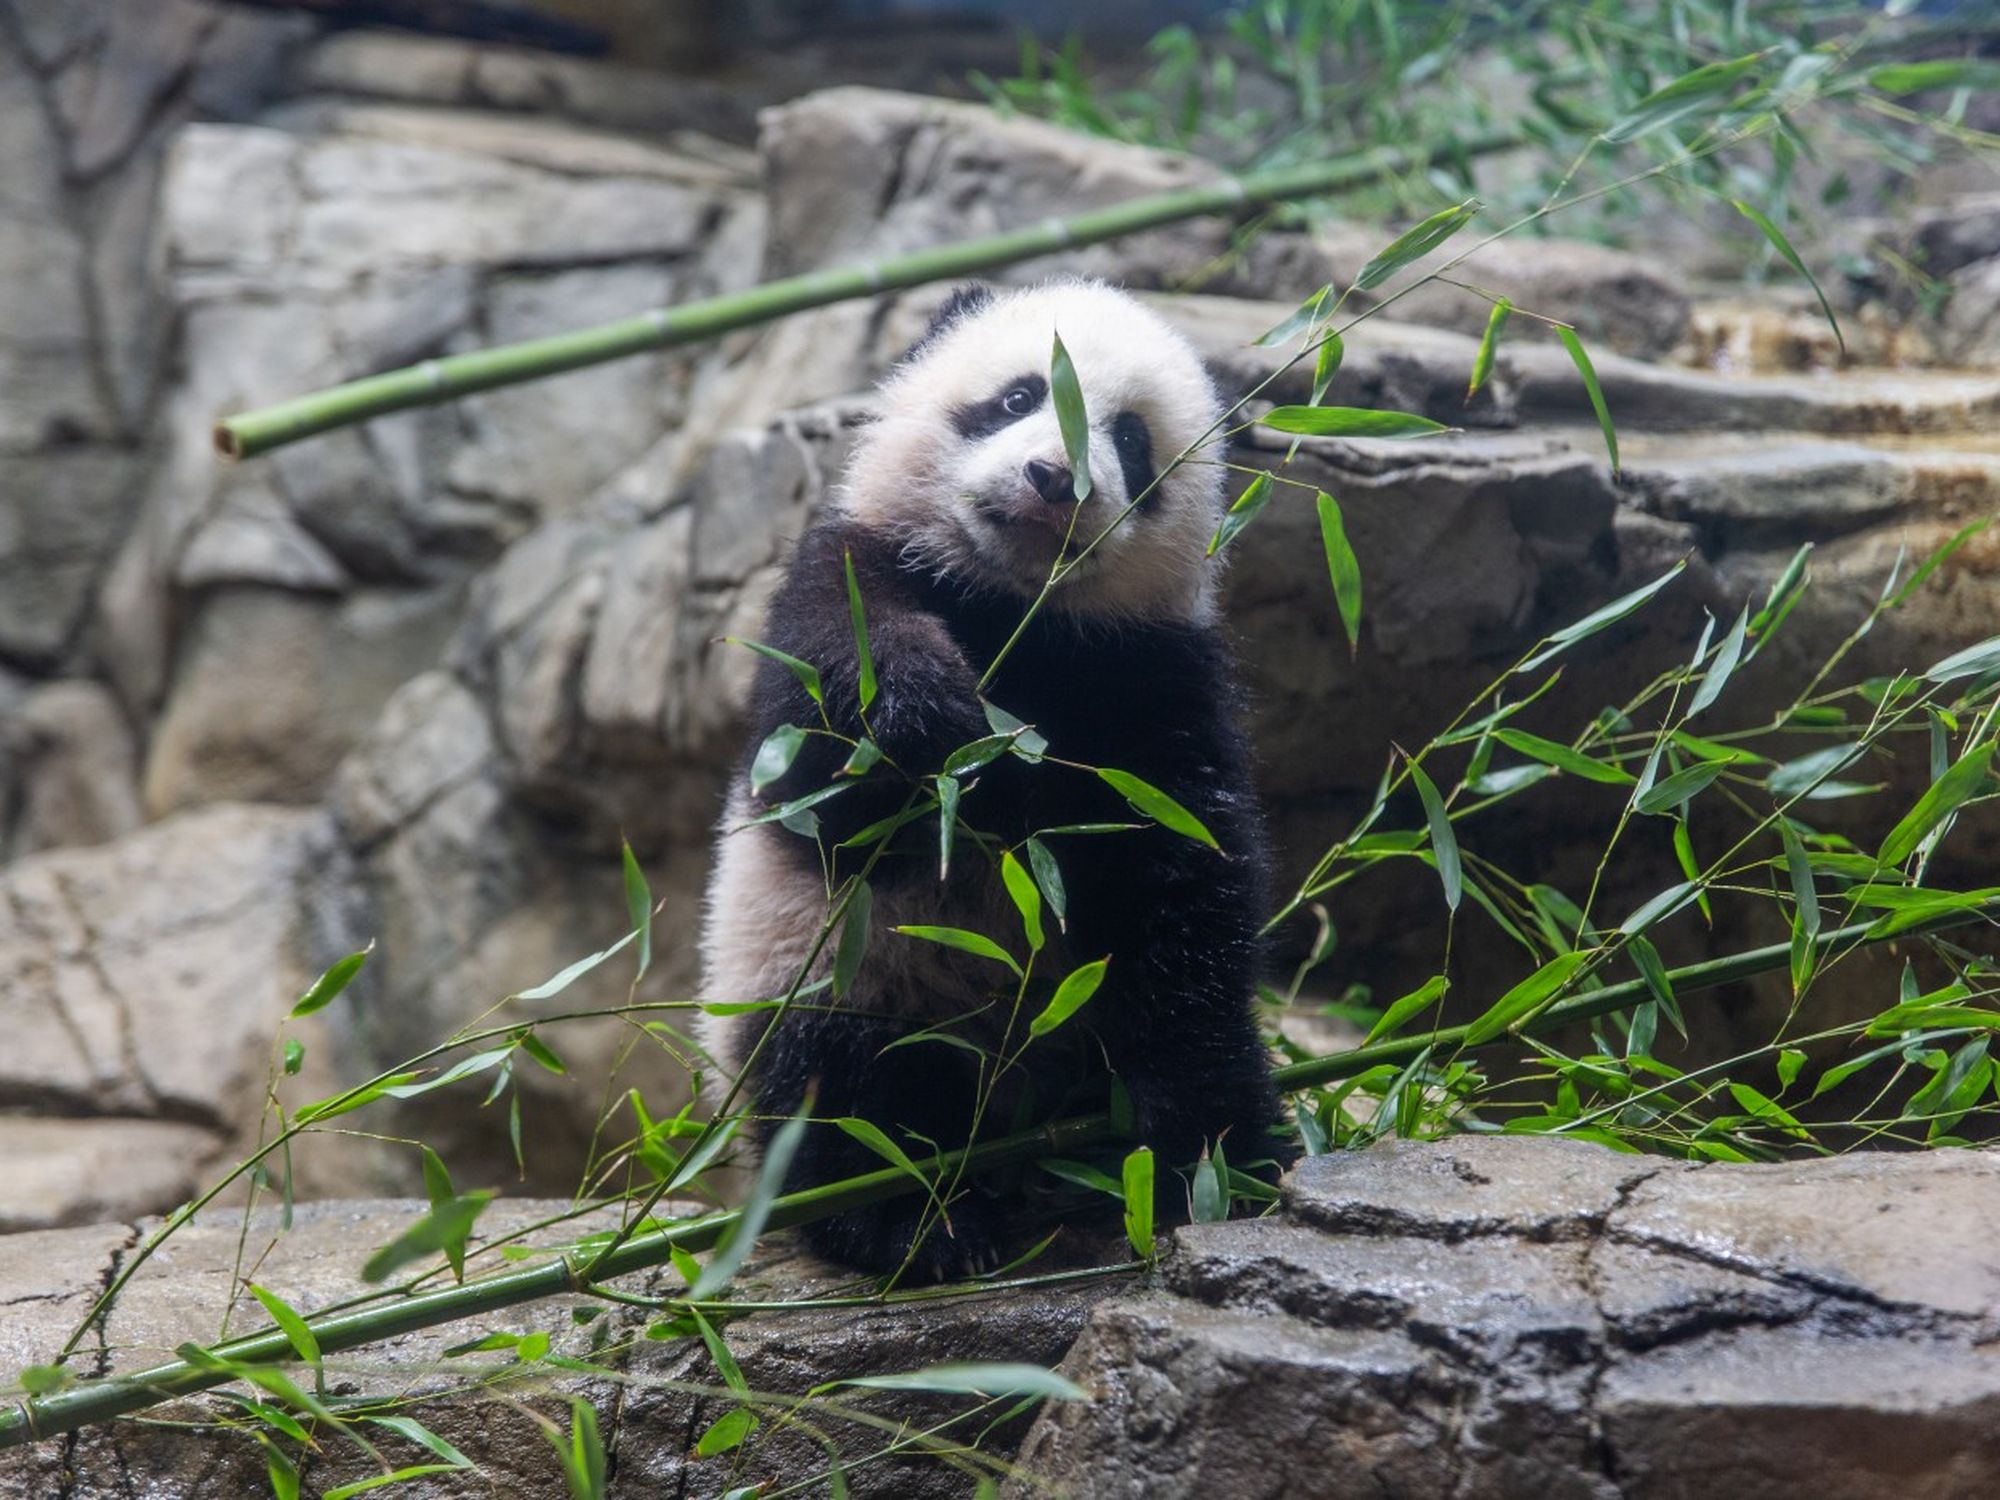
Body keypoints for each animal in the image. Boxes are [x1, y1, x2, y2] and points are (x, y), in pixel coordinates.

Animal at [699, 279, 1295, 1278]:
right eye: (1018, 397)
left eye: (1130, 440)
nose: (1054, 479)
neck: (1016, 609)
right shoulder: (839, 579)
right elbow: (833, 771)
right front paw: (929, 716)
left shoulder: (1151, 679)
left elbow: (1184, 891)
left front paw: (1207, 1149)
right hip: (832, 976)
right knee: (845, 1093)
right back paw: (916, 1220)